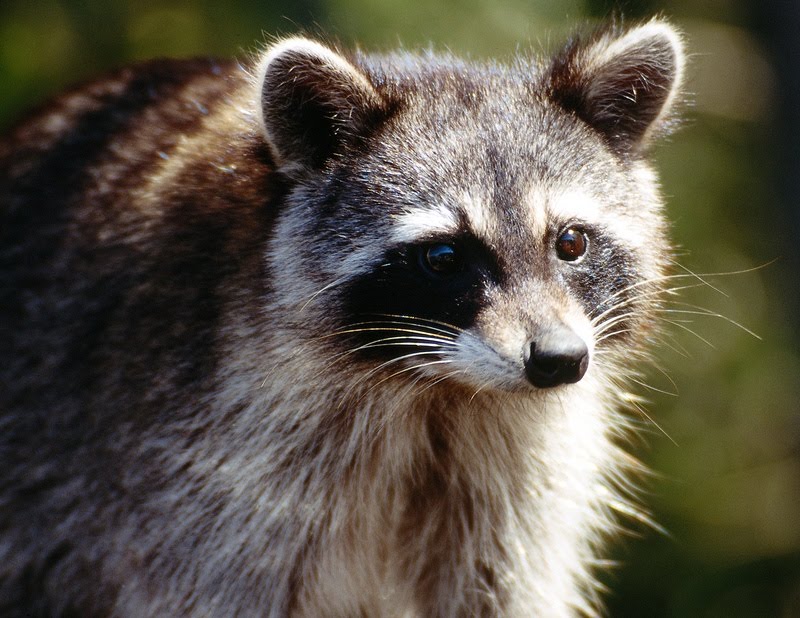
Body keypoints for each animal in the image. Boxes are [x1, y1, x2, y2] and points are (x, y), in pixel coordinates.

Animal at [0, 18, 684, 617]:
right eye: (443, 257)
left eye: (570, 243)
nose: (559, 361)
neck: (438, 388)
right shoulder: (199, 465)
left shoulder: (522, 473)